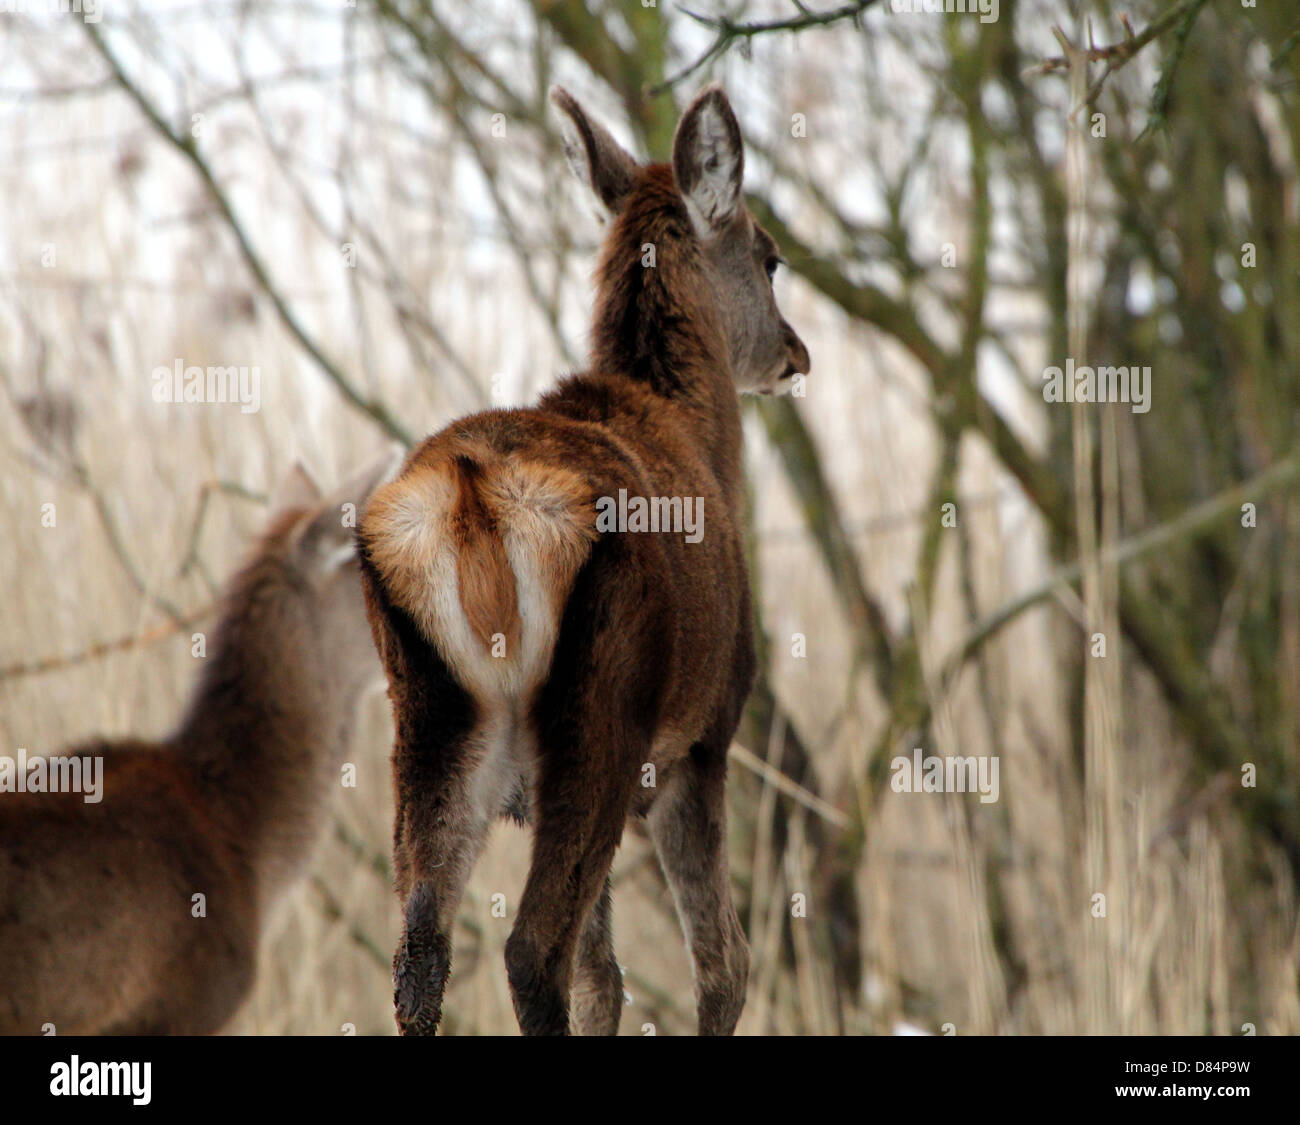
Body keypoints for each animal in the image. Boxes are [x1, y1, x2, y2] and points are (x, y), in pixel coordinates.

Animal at [358, 84, 810, 1037]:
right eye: (771, 256)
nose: (796, 353)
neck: (698, 437)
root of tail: (471, 502)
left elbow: (608, 975)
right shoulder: (702, 742)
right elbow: (724, 961)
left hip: (429, 717)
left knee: (422, 952)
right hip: (602, 709)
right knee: (533, 950)